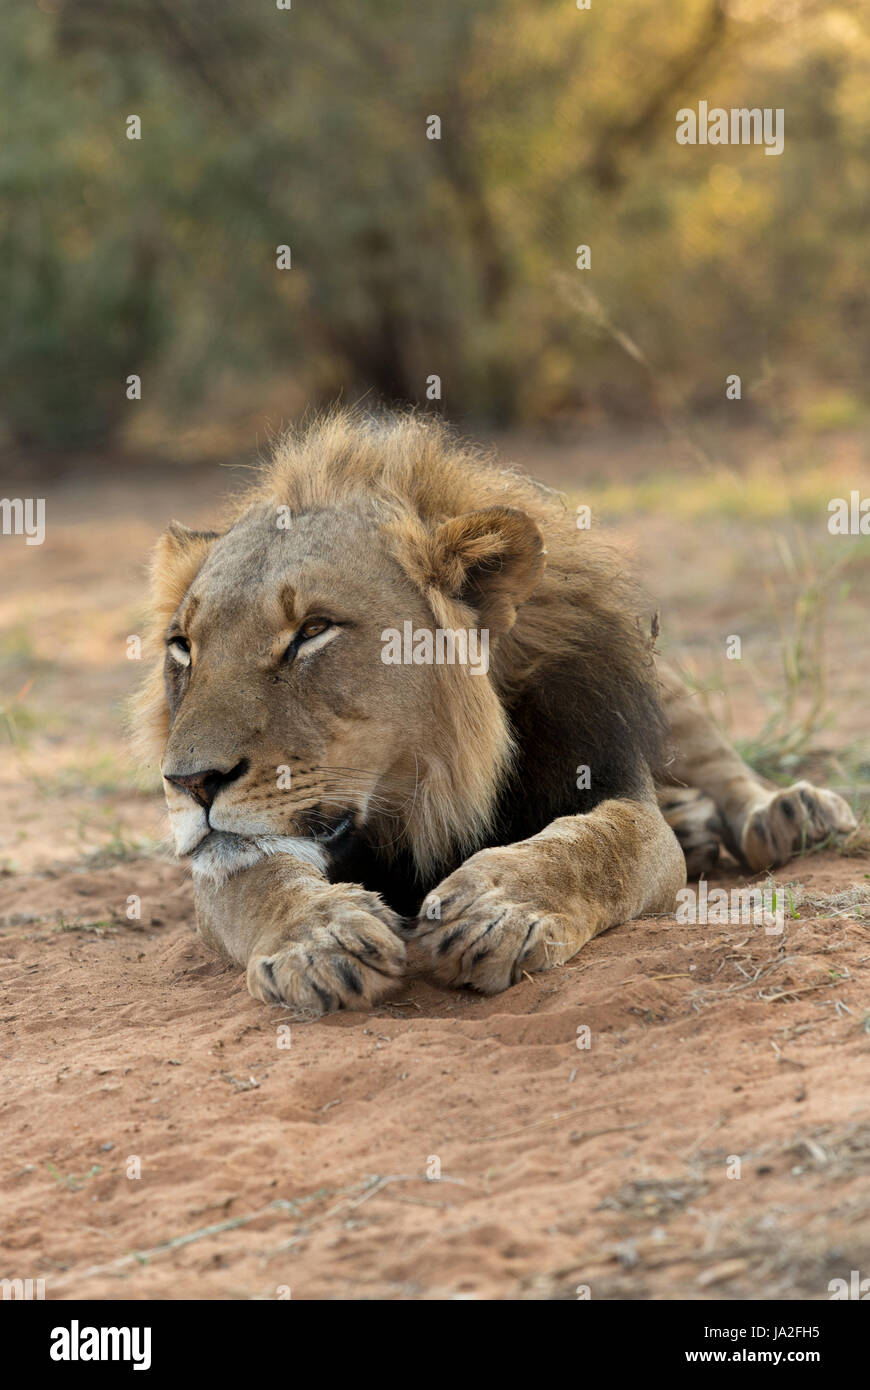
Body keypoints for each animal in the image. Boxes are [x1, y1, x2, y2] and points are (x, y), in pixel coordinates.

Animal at [134, 410, 856, 1014]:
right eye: (183, 646)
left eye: (313, 631)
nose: (189, 782)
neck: (419, 802)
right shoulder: (228, 869)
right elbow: (262, 880)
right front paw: (319, 939)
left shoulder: (618, 788)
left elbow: (602, 842)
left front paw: (497, 908)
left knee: (726, 771)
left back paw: (789, 814)